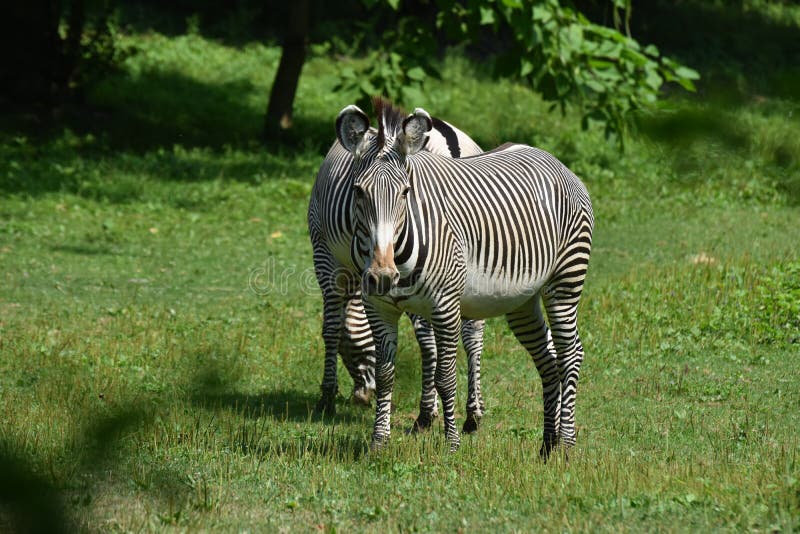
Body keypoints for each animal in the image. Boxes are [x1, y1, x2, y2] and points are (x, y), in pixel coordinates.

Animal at [308, 98, 486, 433]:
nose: (363, 396)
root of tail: (450, 143)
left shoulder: (325, 255)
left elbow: (332, 327)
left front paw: (326, 397)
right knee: (473, 335)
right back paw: (473, 413)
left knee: (429, 339)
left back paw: (426, 414)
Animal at [337, 103, 594, 456]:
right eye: (358, 191)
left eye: (405, 193)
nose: (382, 276)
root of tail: (553, 159)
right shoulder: (379, 307)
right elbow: (386, 374)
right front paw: (378, 443)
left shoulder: (445, 306)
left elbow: (445, 377)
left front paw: (452, 445)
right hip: (522, 301)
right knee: (548, 359)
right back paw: (547, 445)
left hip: (566, 280)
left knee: (570, 355)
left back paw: (566, 445)